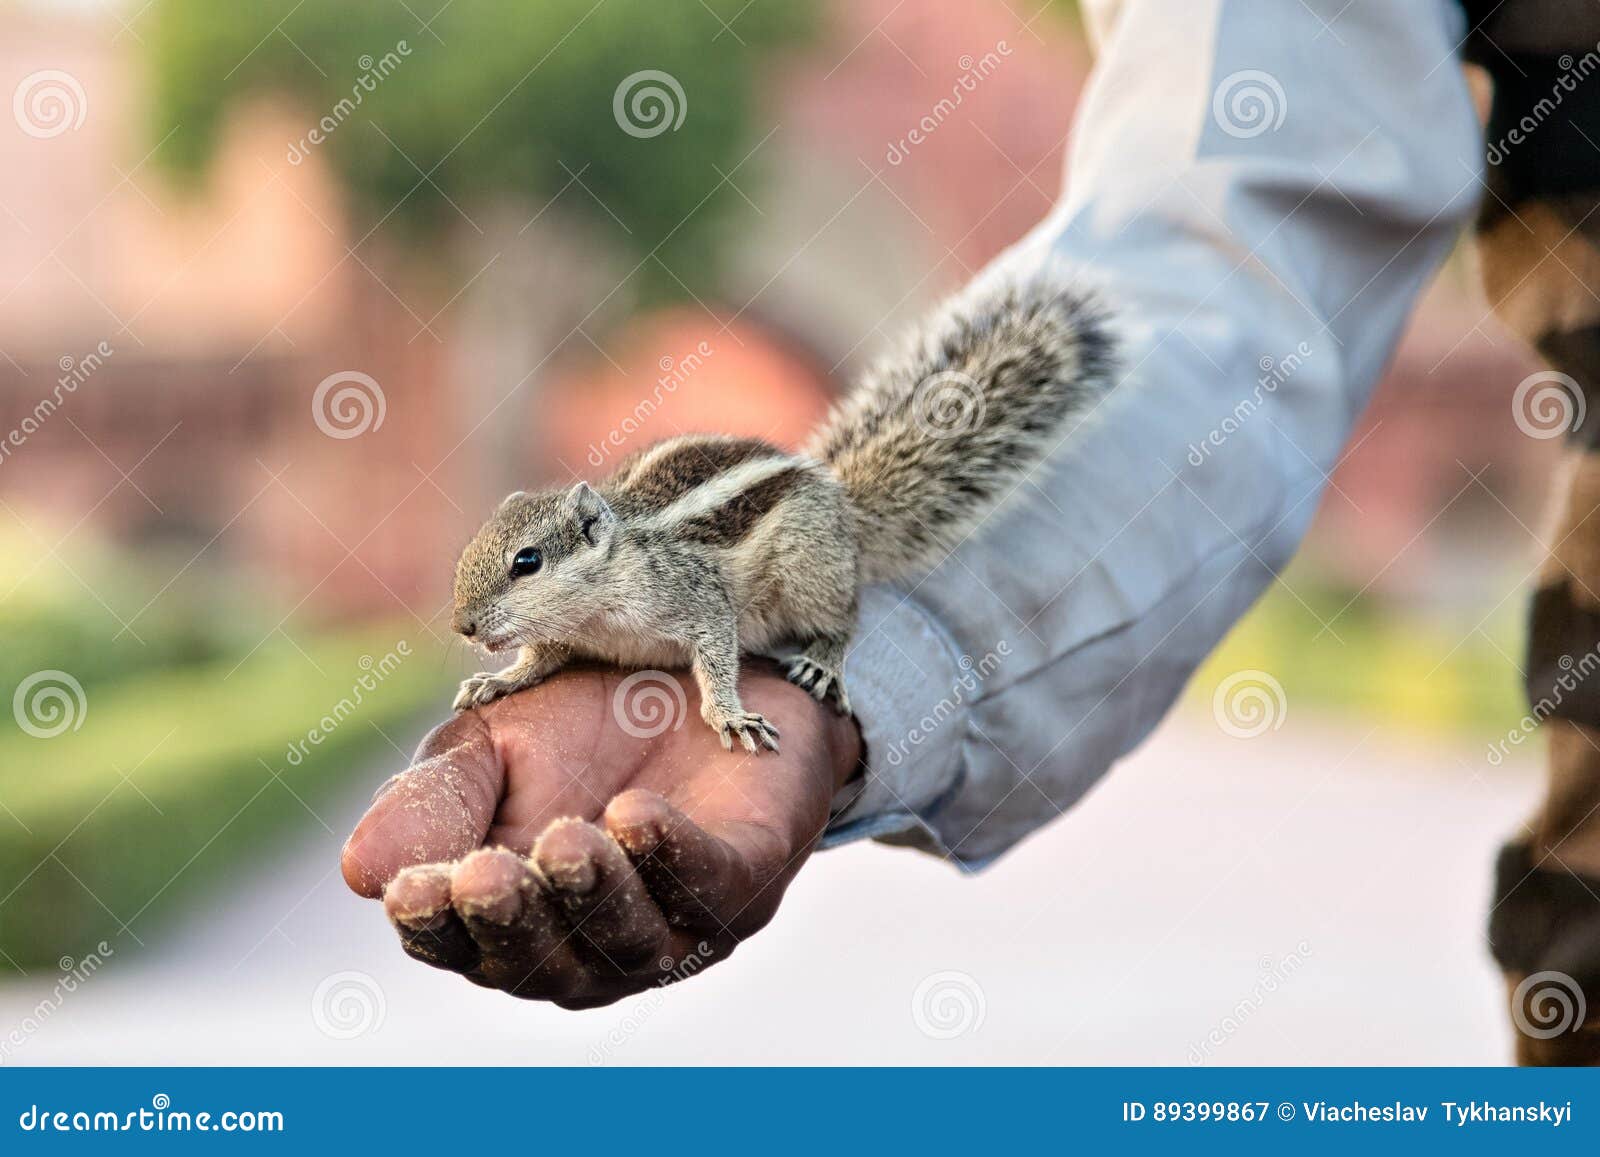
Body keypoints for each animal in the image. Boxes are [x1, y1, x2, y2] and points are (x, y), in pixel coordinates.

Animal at [449, 273, 1114, 753]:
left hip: (808, 568)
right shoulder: (567, 634)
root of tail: (840, 502)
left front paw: (730, 715)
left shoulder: (694, 598)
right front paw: (499, 680)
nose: (463, 626)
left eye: (527, 562)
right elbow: (541, 658)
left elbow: (717, 652)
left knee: (844, 615)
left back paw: (824, 661)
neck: (599, 604)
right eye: (467, 553)